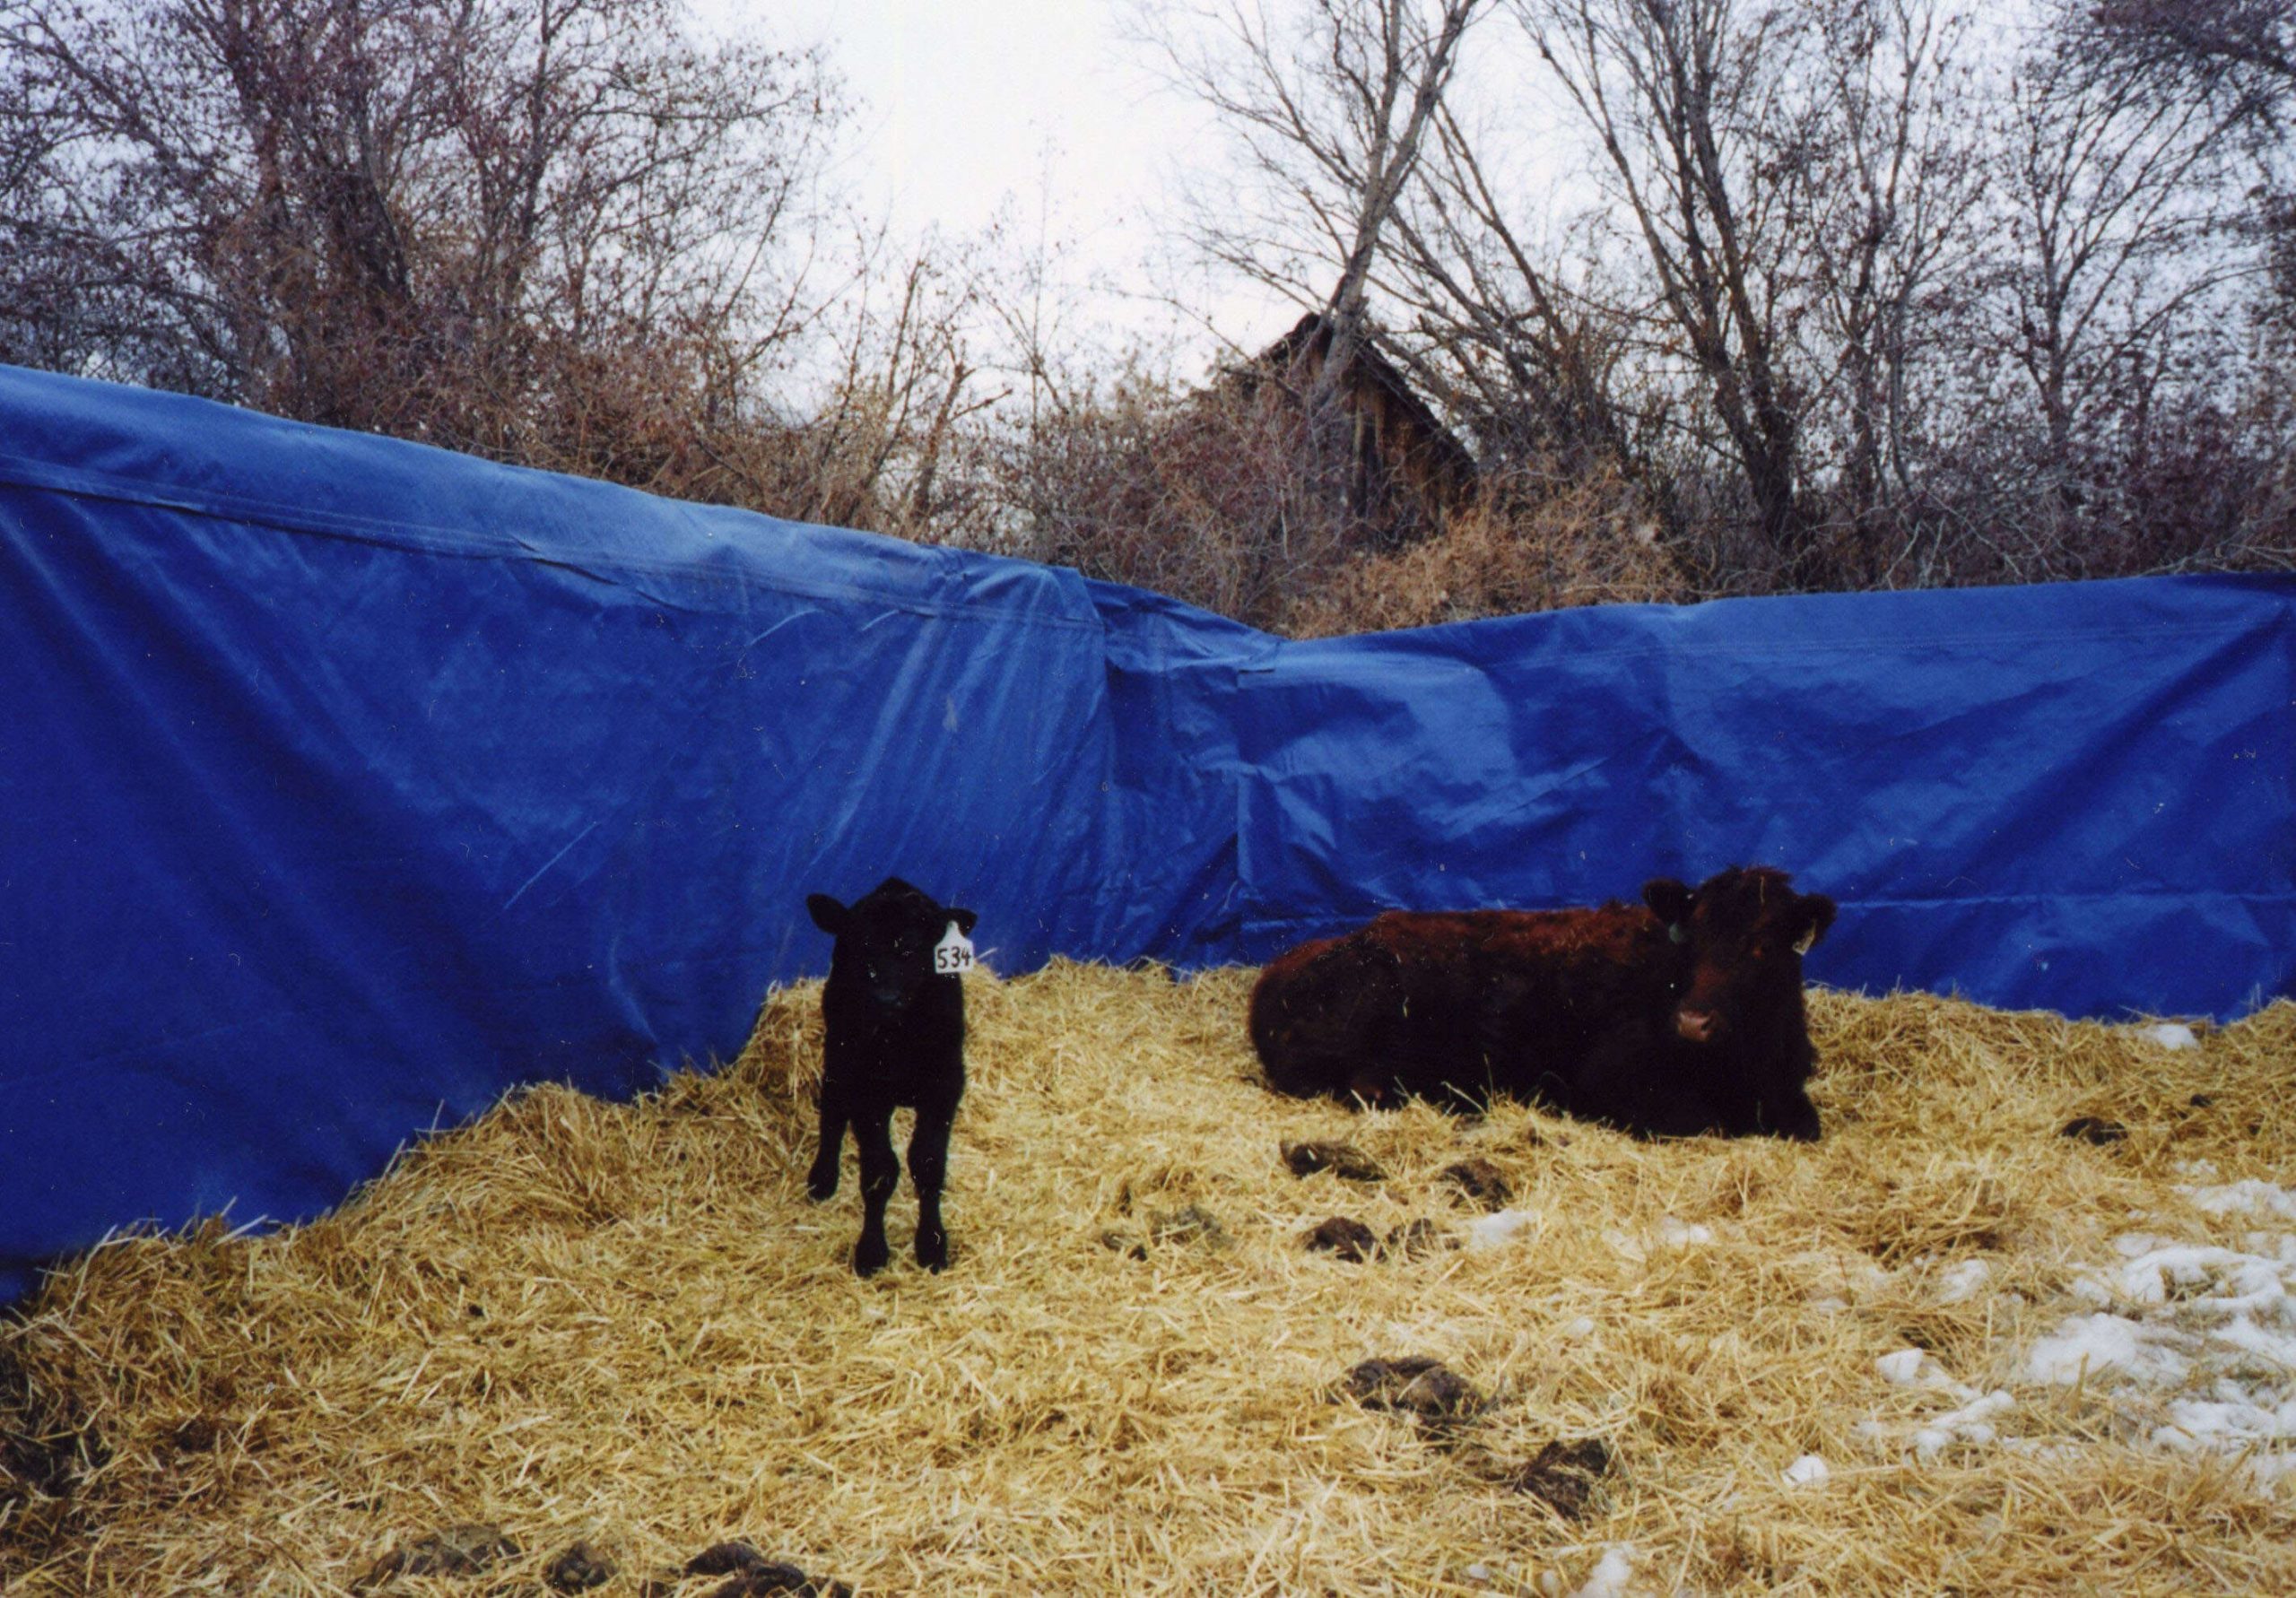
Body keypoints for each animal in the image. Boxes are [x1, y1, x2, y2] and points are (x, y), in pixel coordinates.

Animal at [804, 877, 978, 1276]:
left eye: (911, 949)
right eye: (860, 948)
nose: (884, 998)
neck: (899, 1038)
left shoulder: (945, 1087)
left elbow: (928, 1164)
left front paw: (932, 1244)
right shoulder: (867, 1092)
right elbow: (880, 1171)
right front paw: (871, 1250)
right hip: (838, 1049)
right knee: (833, 1107)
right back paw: (822, 1178)